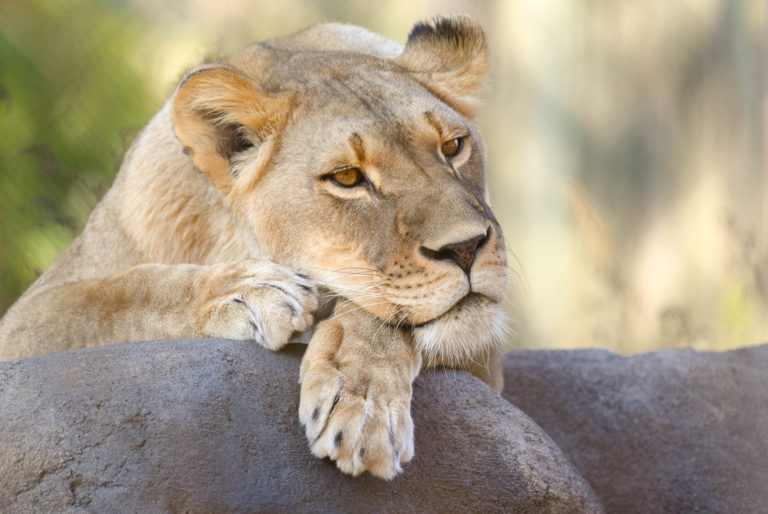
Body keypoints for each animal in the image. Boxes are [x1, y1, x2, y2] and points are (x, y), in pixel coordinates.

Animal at [0, 15, 508, 479]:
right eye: (347, 177)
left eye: (453, 146)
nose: (467, 247)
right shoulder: (26, 319)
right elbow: (117, 296)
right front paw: (247, 290)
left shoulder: (487, 367)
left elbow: (379, 313)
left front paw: (361, 400)